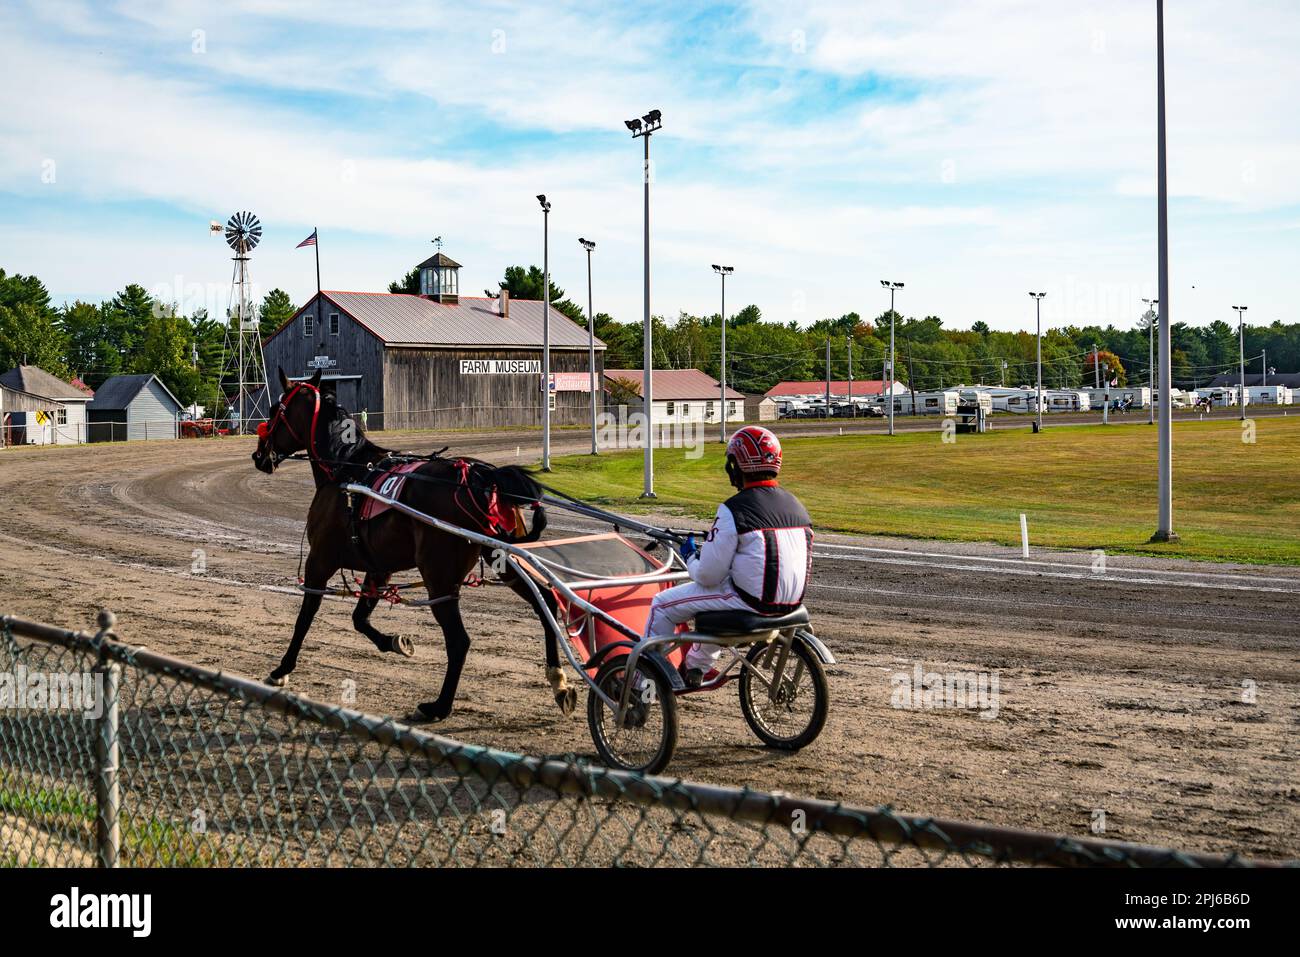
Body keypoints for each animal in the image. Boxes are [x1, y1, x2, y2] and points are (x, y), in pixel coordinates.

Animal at [250, 367, 577, 721]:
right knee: (544, 600)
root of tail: (479, 476)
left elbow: (305, 616)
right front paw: (395, 642)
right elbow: (360, 618)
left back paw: (439, 706)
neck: (346, 471)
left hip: (439, 576)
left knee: (459, 641)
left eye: (274, 411)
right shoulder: (378, 567)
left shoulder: (320, 560)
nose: (259, 456)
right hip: (501, 556)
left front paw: (282, 669)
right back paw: (558, 681)